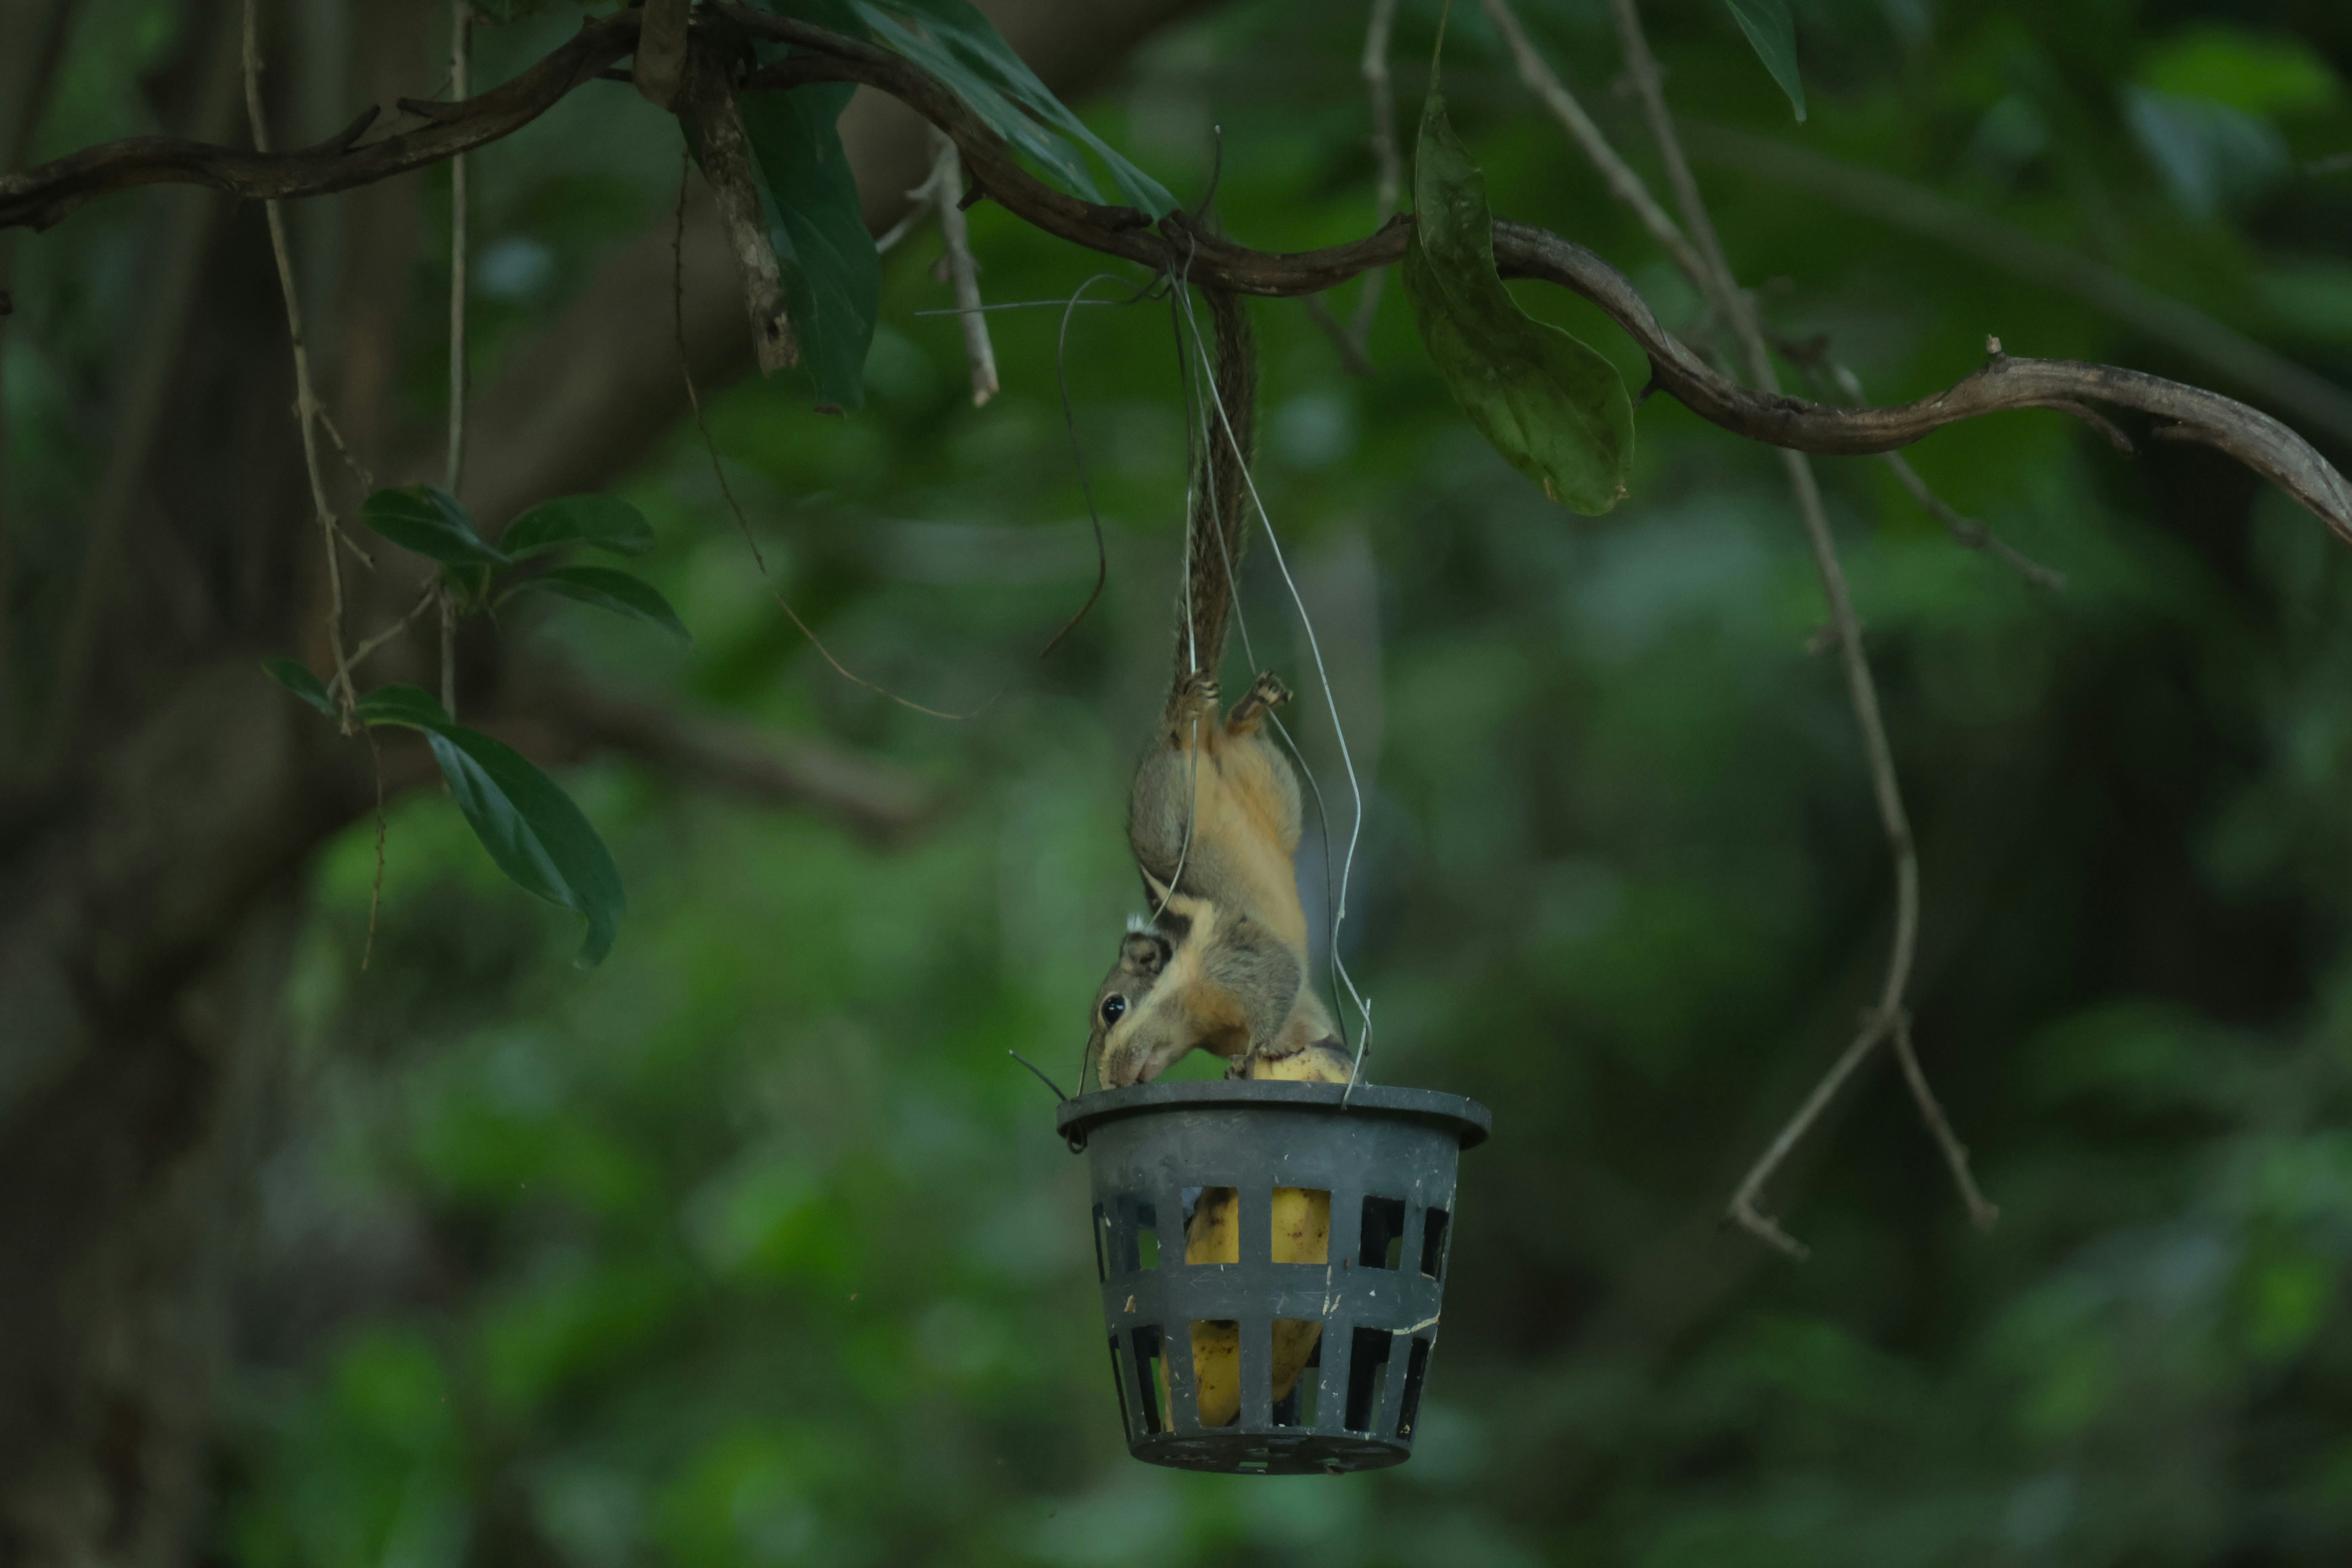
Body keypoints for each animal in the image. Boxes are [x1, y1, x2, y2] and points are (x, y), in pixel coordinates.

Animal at [1088, 288, 1342, 1090]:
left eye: (1112, 1008)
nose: (1114, 1082)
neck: (1195, 997)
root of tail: (1202, 743)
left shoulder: (1248, 961)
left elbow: (1277, 991)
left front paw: (1259, 1052)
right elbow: (1299, 1018)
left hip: (1174, 808)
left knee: (1188, 748)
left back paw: (1200, 713)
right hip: (1265, 787)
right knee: (1235, 740)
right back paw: (1239, 711)